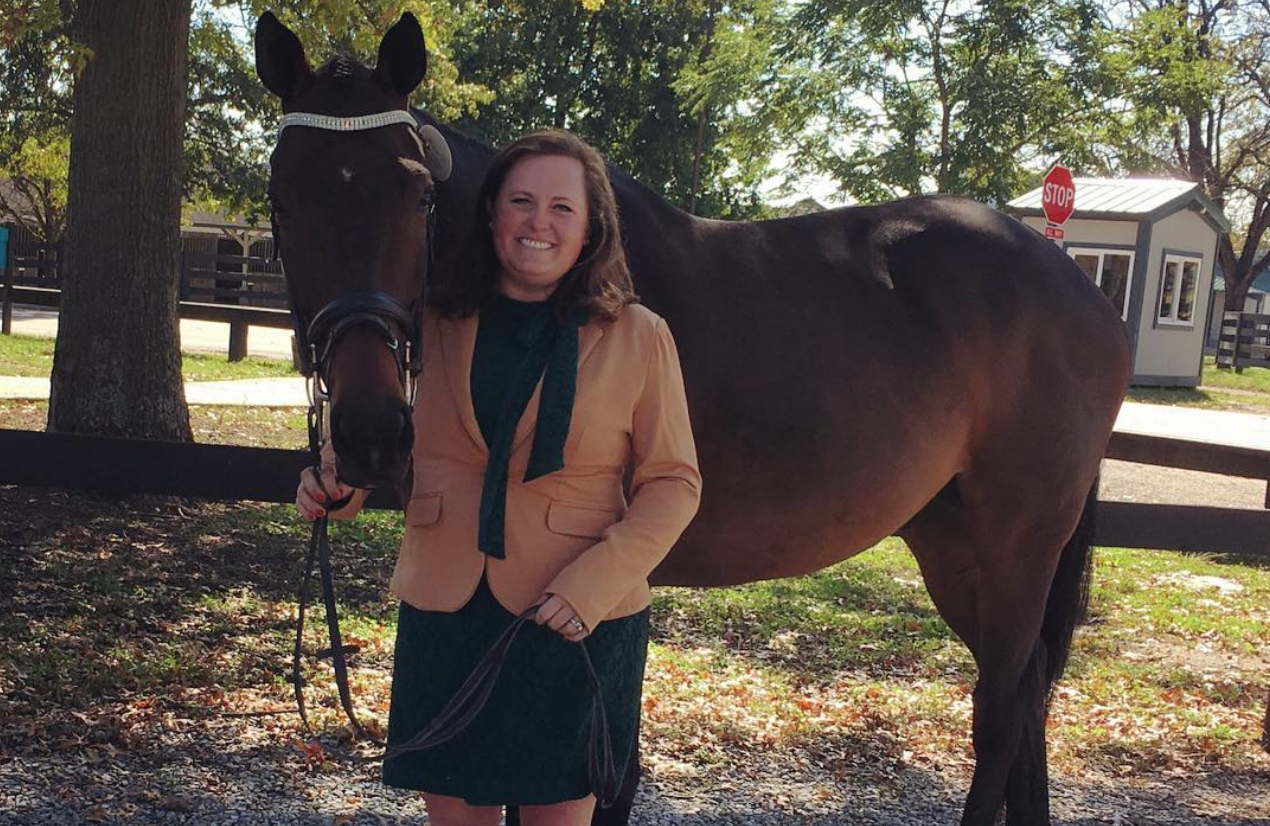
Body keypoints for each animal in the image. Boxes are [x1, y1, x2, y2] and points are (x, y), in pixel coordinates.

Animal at [256, 12, 1131, 826]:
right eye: (282, 198)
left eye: (420, 196)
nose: (371, 434)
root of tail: (1074, 279)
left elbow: (610, 776)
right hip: (955, 545)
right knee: (1027, 697)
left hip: (1018, 545)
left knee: (1002, 709)